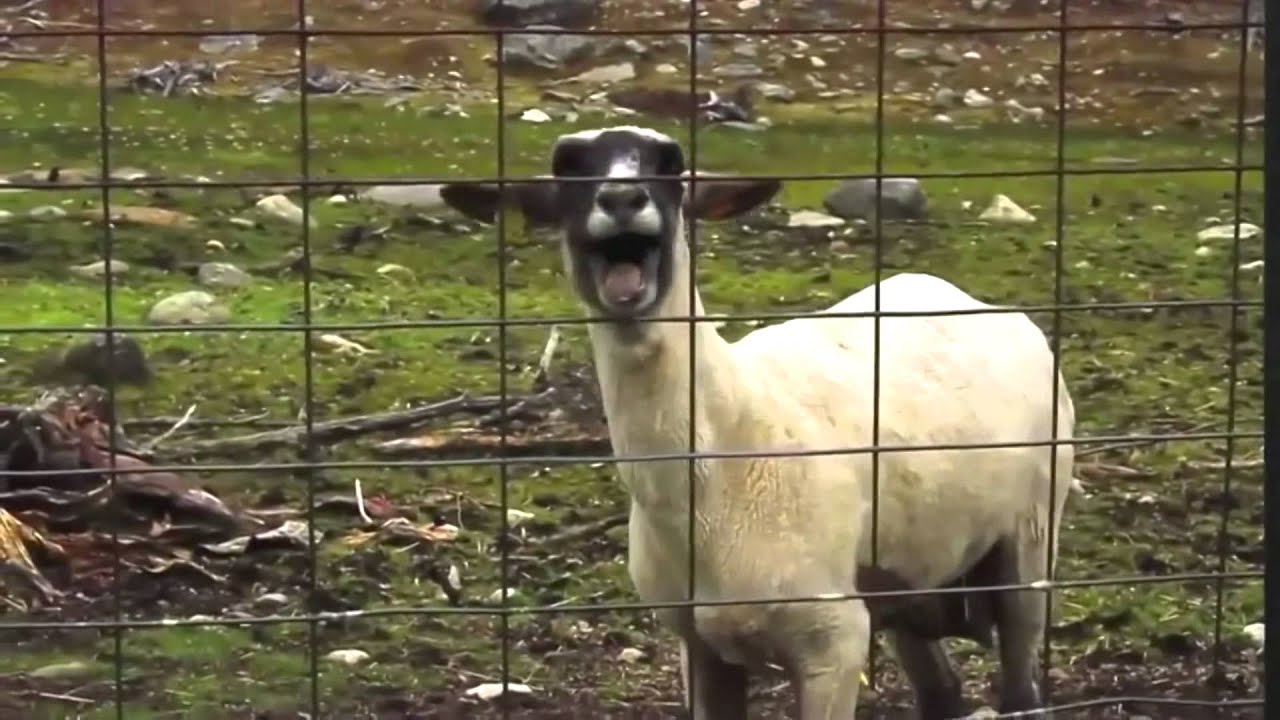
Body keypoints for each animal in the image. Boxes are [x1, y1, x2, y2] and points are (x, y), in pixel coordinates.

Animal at [440, 125, 1076, 720]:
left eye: (671, 164)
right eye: (568, 166)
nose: (622, 198)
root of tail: (964, 295)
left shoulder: (833, 641)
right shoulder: (700, 645)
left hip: (1031, 535)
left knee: (1022, 683)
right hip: (910, 573)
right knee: (941, 689)